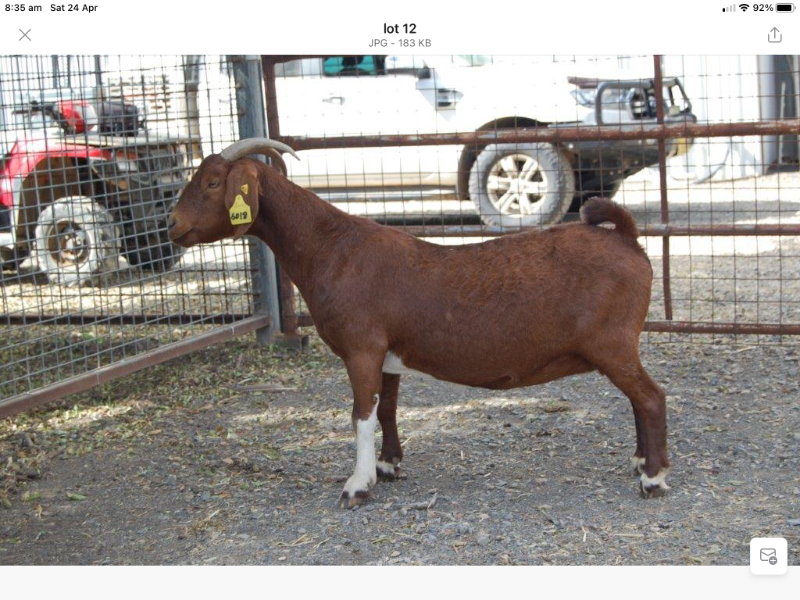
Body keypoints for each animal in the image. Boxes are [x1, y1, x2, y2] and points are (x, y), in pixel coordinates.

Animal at [168, 138, 670, 508]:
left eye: (212, 182)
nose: (171, 225)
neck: (332, 247)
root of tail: (627, 239)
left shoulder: (361, 349)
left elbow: (361, 414)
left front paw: (357, 485)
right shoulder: (387, 354)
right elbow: (387, 408)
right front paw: (388, 467)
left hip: (613, 343)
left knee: (651, 397)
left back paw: (655, 477)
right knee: (638, 399)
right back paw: (640, 462)